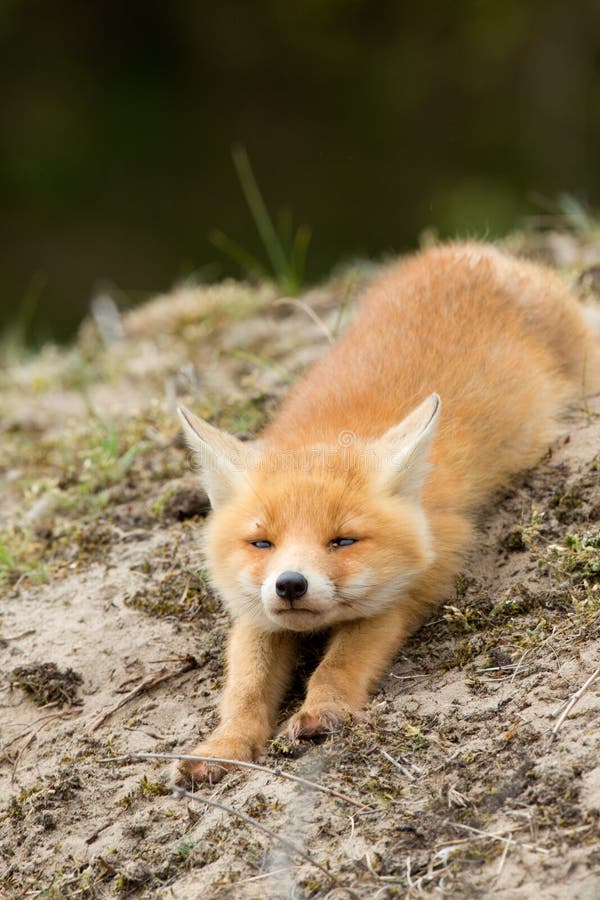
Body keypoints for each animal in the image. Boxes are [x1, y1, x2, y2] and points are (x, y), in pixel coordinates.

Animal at [173, 242, 600, 786]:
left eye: (343, 541)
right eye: (261, 543)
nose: (290, 584)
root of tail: (464, 250)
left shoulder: (407, 591)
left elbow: (339, 664)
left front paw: (323, 711)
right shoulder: (256, 615)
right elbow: (244, 689)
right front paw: (225, 746)